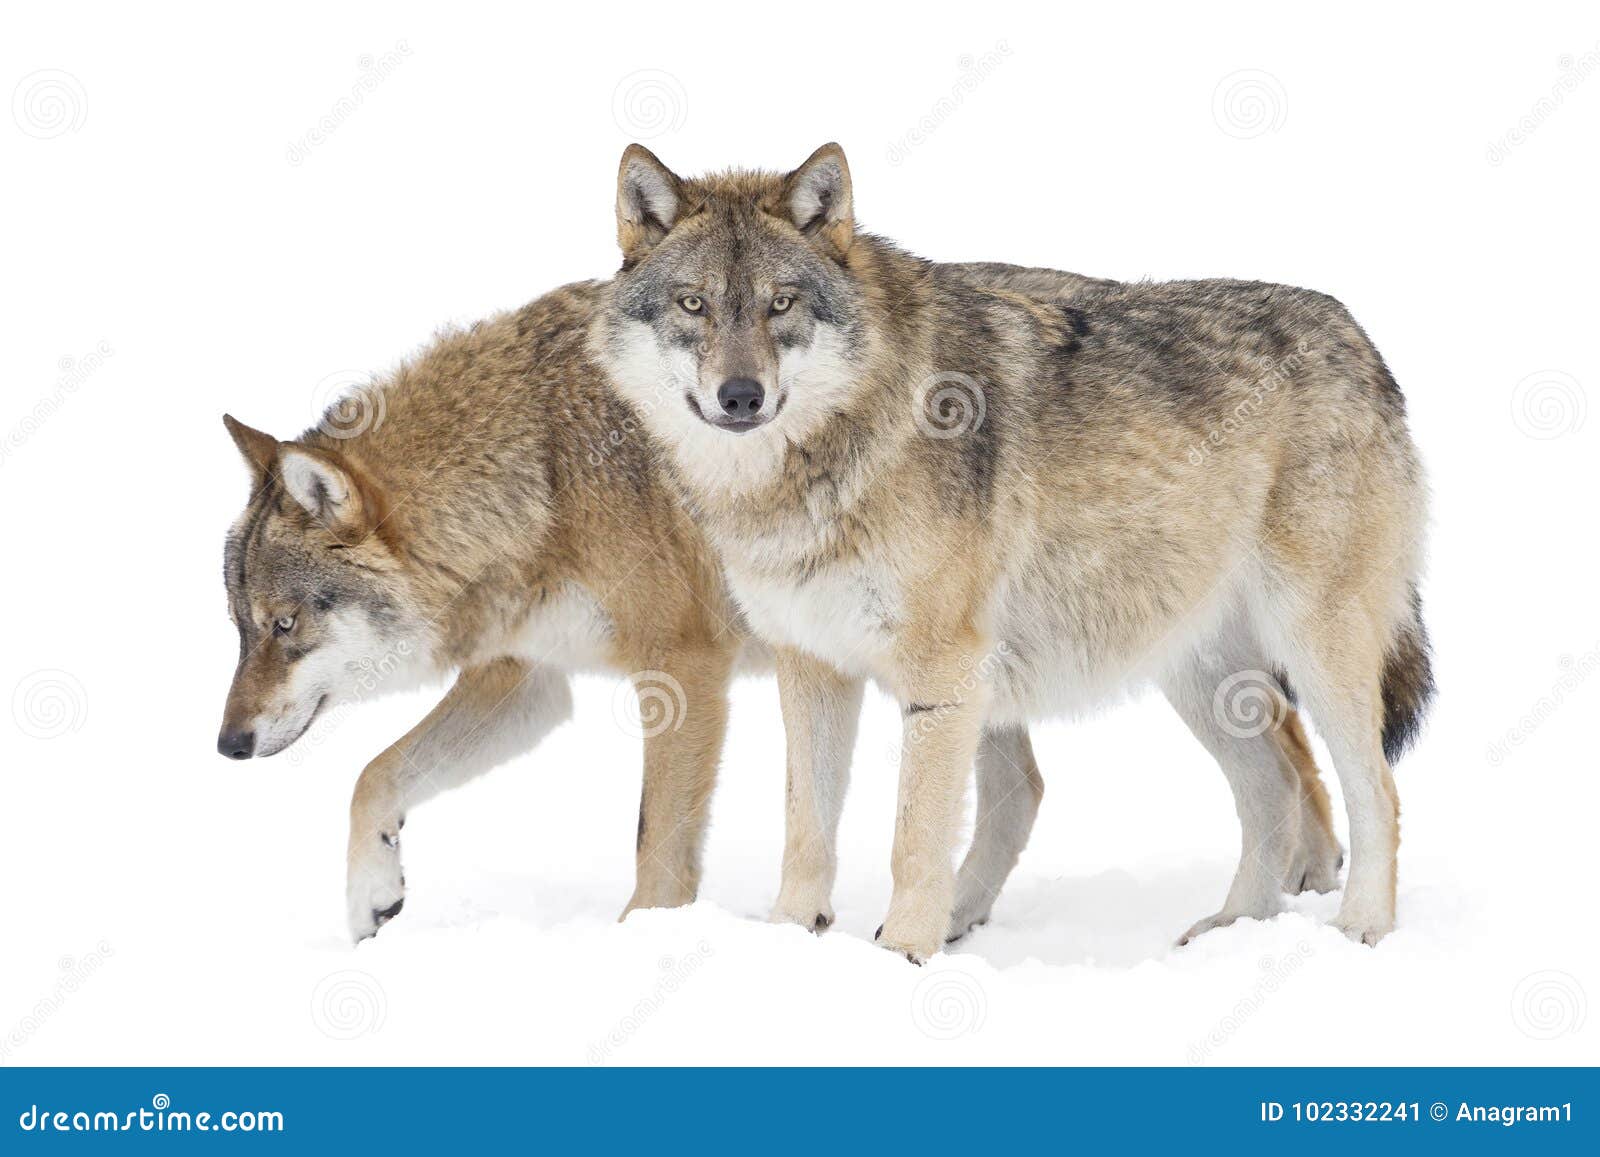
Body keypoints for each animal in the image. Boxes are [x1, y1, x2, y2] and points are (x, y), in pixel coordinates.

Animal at [593, 143, 1432, 962]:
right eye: (694, 304)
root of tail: (1359, 335)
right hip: (1198, 672)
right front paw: (792, 936)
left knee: (1378, 791)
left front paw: (904, 953)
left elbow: (914, 840)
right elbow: (806, 827)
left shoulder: (942, 669)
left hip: (1314, 648)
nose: (741, 396)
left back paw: (1361, 928)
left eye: (781, 303)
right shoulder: (813, 664)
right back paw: (1229, 931)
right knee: (1272, 789)